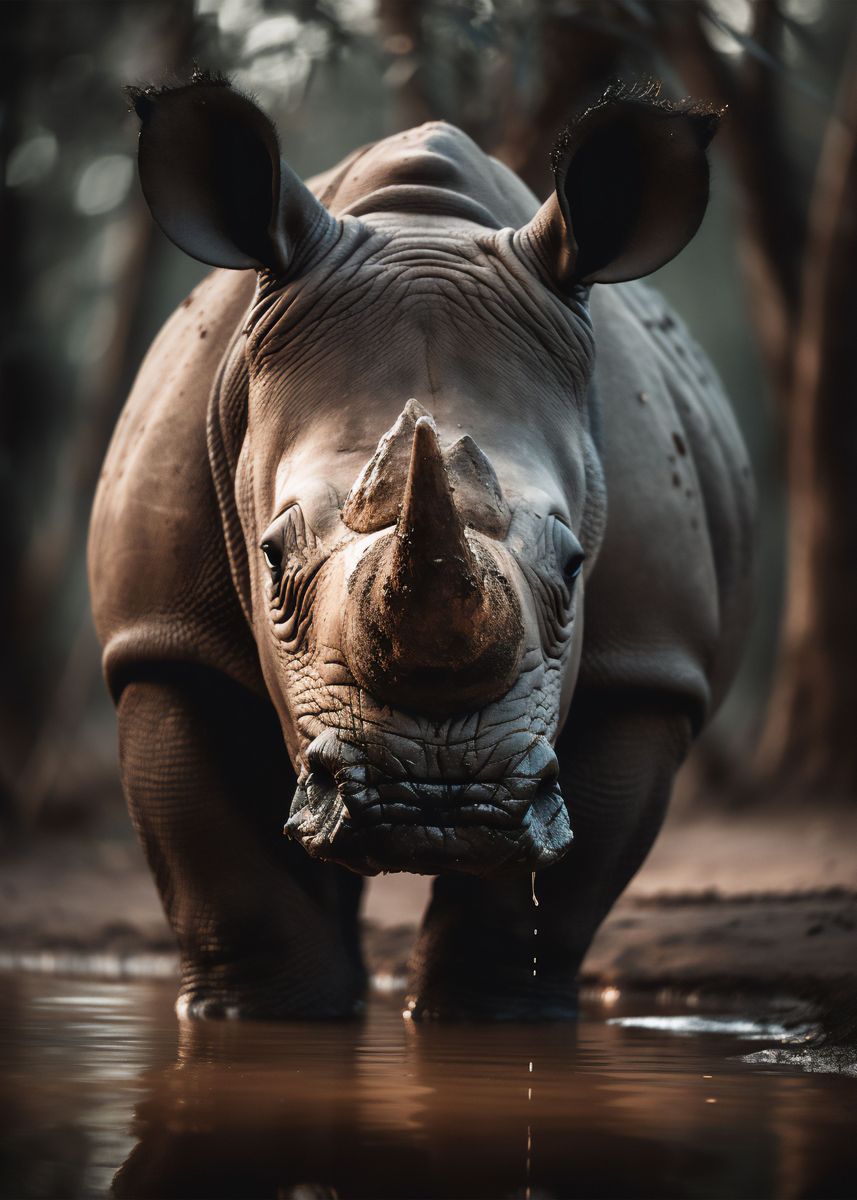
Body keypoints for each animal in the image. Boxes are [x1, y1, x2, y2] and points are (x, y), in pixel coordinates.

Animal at [89, 73, 755, 1020]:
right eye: (270, 559)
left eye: (574, 567)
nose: (436, 799)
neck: (418, 220)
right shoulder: (158, 639)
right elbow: (223, 877)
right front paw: (260, 1019)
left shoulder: (647, 667)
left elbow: (545, 899)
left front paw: (488, 1021)